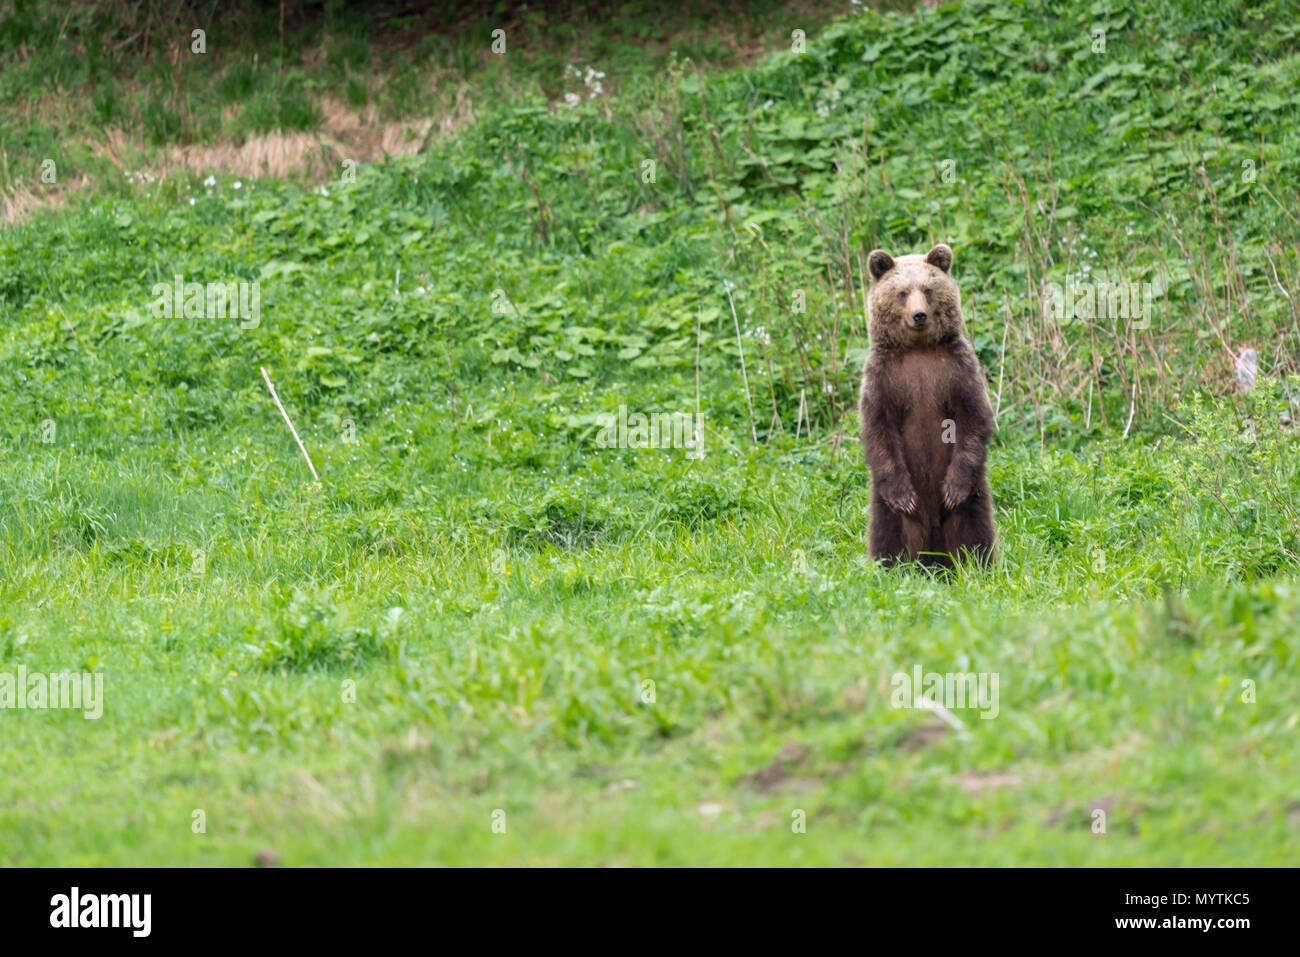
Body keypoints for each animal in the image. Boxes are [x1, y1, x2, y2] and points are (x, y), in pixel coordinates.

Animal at [858, 243, 995, 569]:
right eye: (902, 292)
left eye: (928, 289)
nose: (919, 315)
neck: (918, 348)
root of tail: (932, 553)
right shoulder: (884, 378)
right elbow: (878, 428)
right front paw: (903, 497)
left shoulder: (957, 370)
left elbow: (972, 418)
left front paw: (953, 490)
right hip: (884, 506)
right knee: (887, 532)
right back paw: (889, 565)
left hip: (974, 497)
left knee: (973, 528)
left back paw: (976, 564)